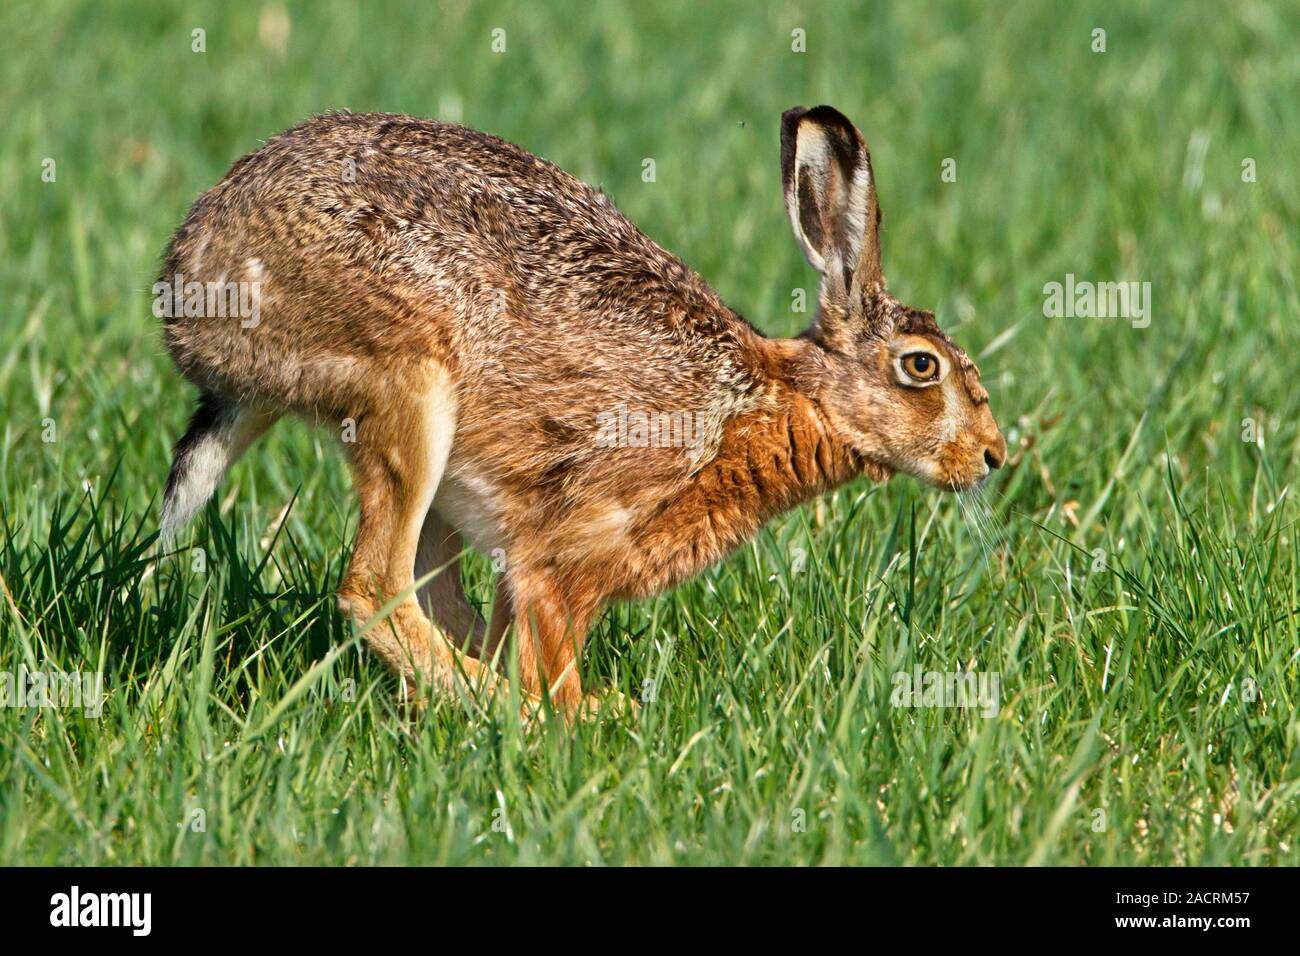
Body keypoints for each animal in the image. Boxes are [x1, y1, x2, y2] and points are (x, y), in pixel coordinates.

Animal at [157, 105, 1005, 719]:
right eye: (921, 366)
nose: (994, 456)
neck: (775, 397)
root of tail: (195, 282)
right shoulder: (563, 551)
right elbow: (548, 643)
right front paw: (571, 718)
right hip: (410, 390)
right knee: (375, 589)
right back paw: (520, 709)